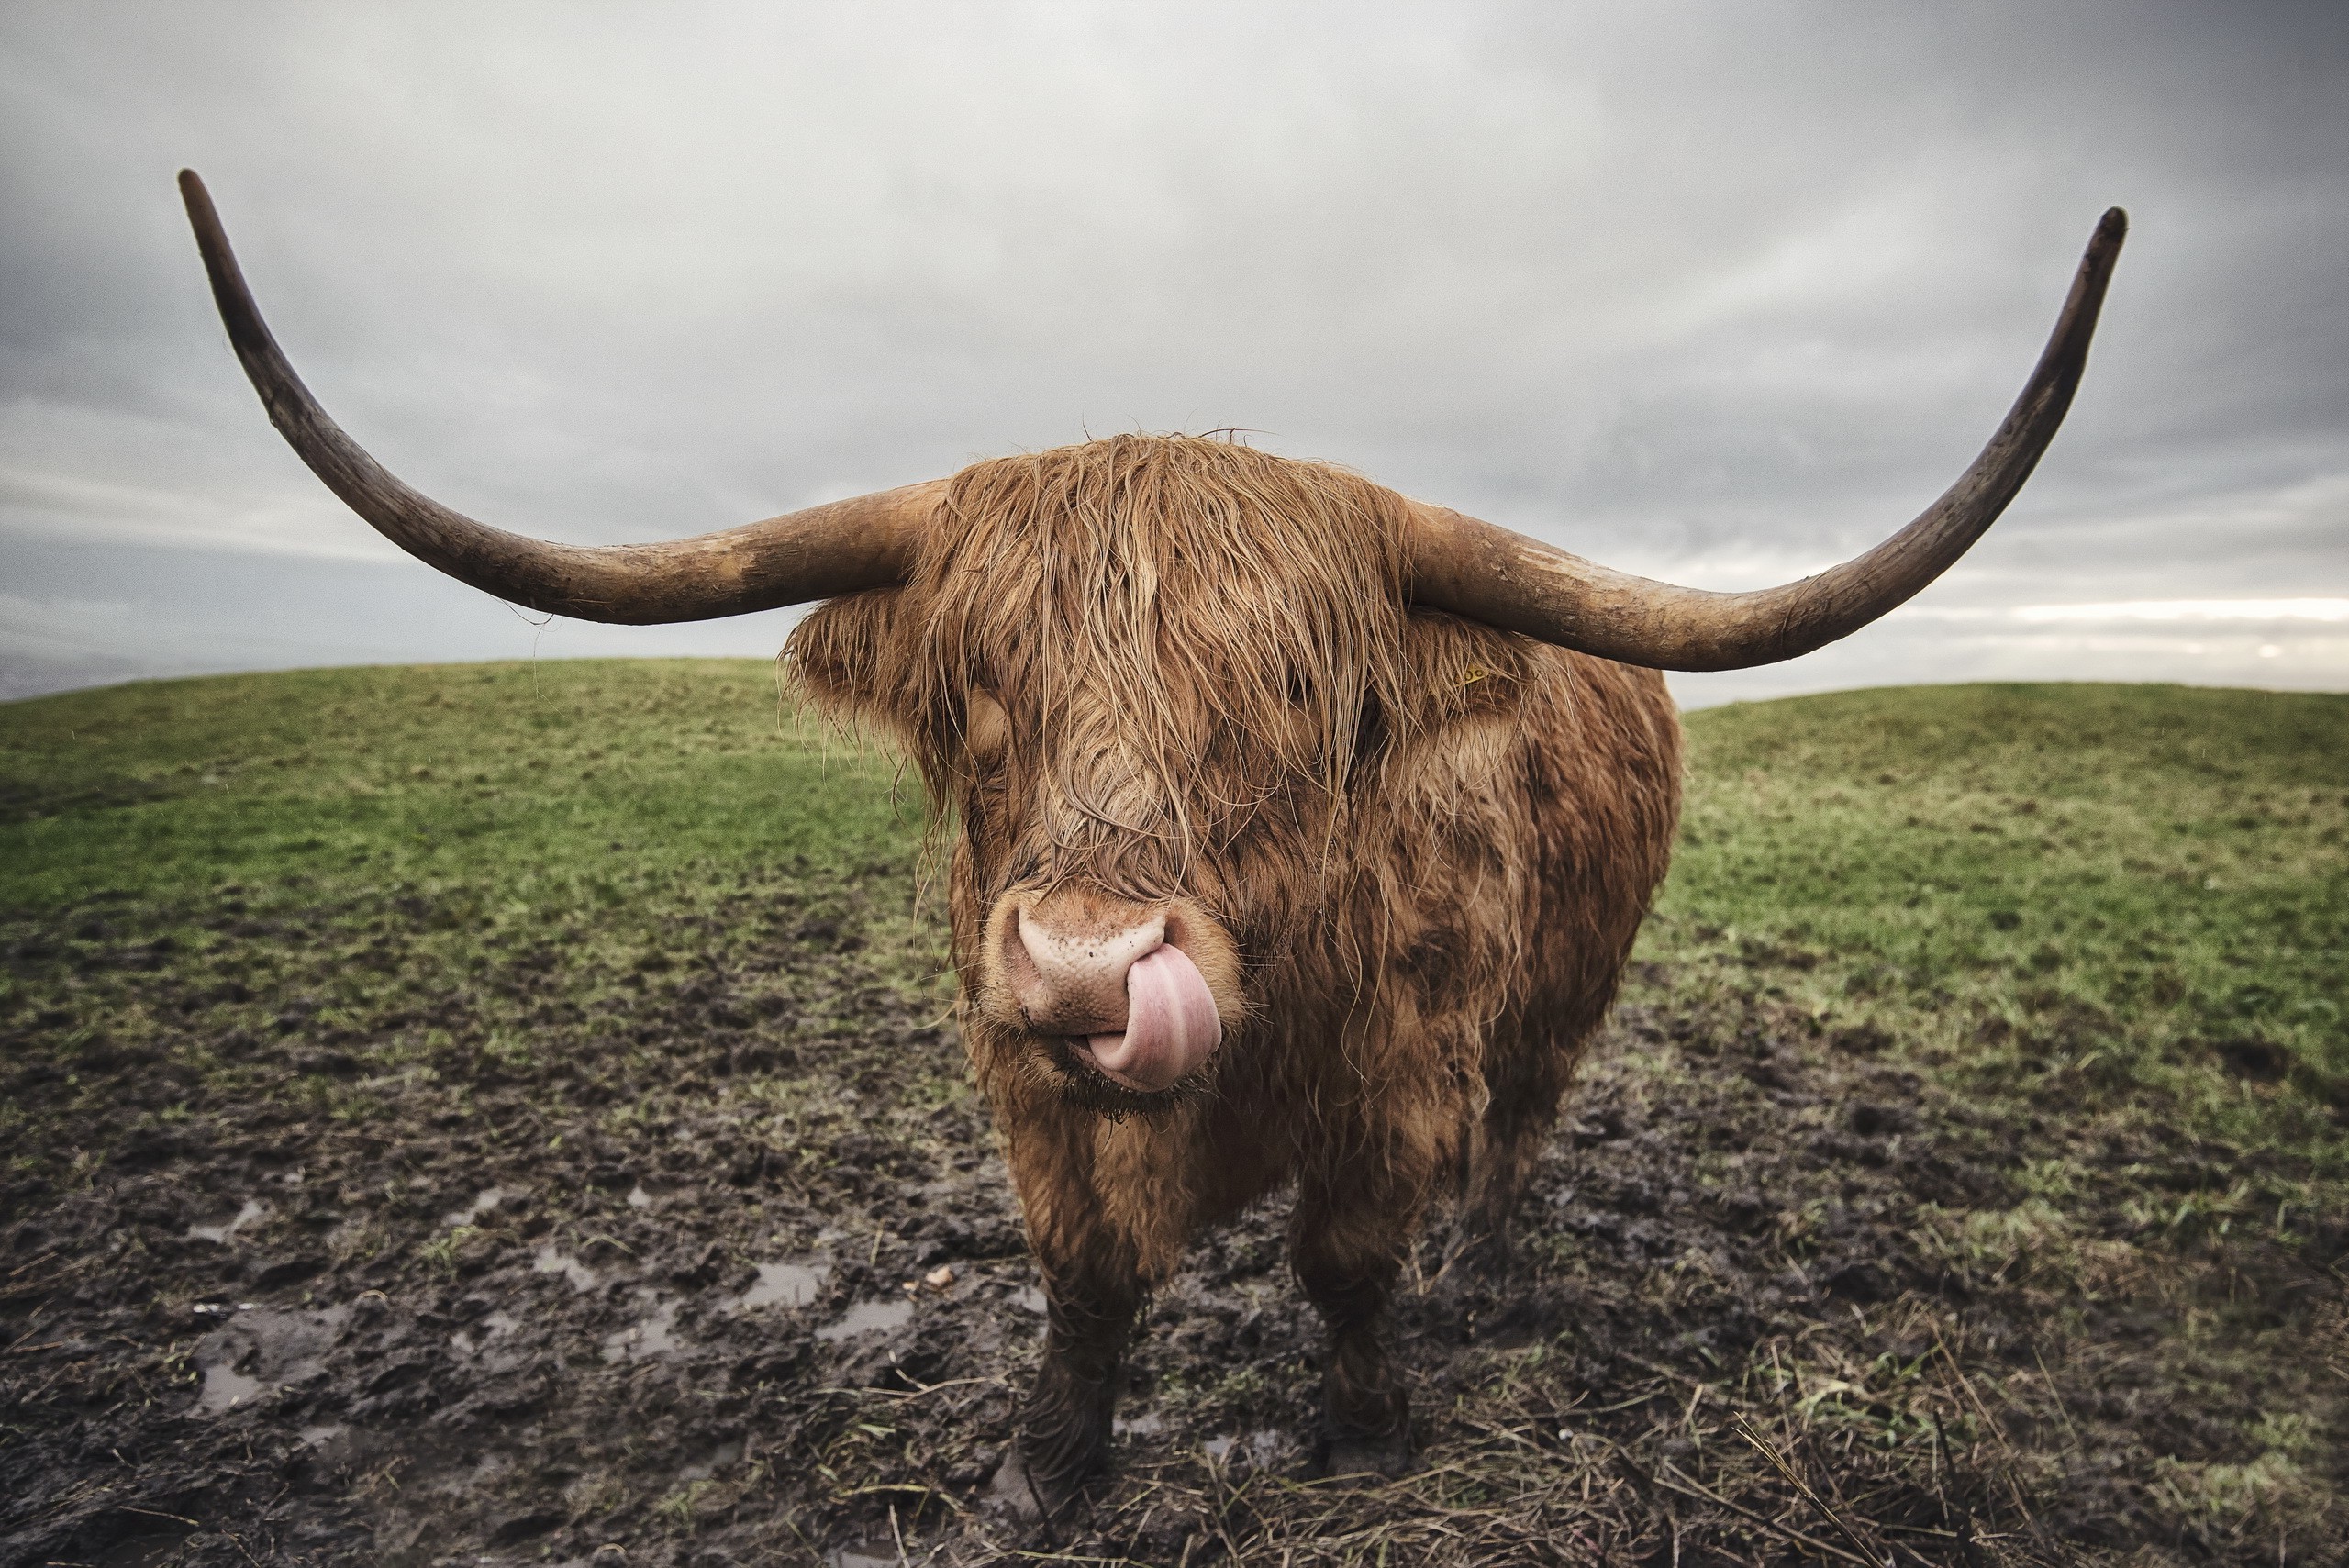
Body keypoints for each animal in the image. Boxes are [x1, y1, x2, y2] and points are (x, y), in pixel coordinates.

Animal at [177, 170, 2123, 1515]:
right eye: (979, 681)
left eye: (1294, 684)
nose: (1094, 964)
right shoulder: (1021, 1077)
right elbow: (1083, 1273)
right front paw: (1049, 1460)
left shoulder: (1400, 1069)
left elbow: (1350, 1258)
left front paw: (1368, 1422)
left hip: (1572, 984)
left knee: (1526, 1113)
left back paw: (1494, 1263)